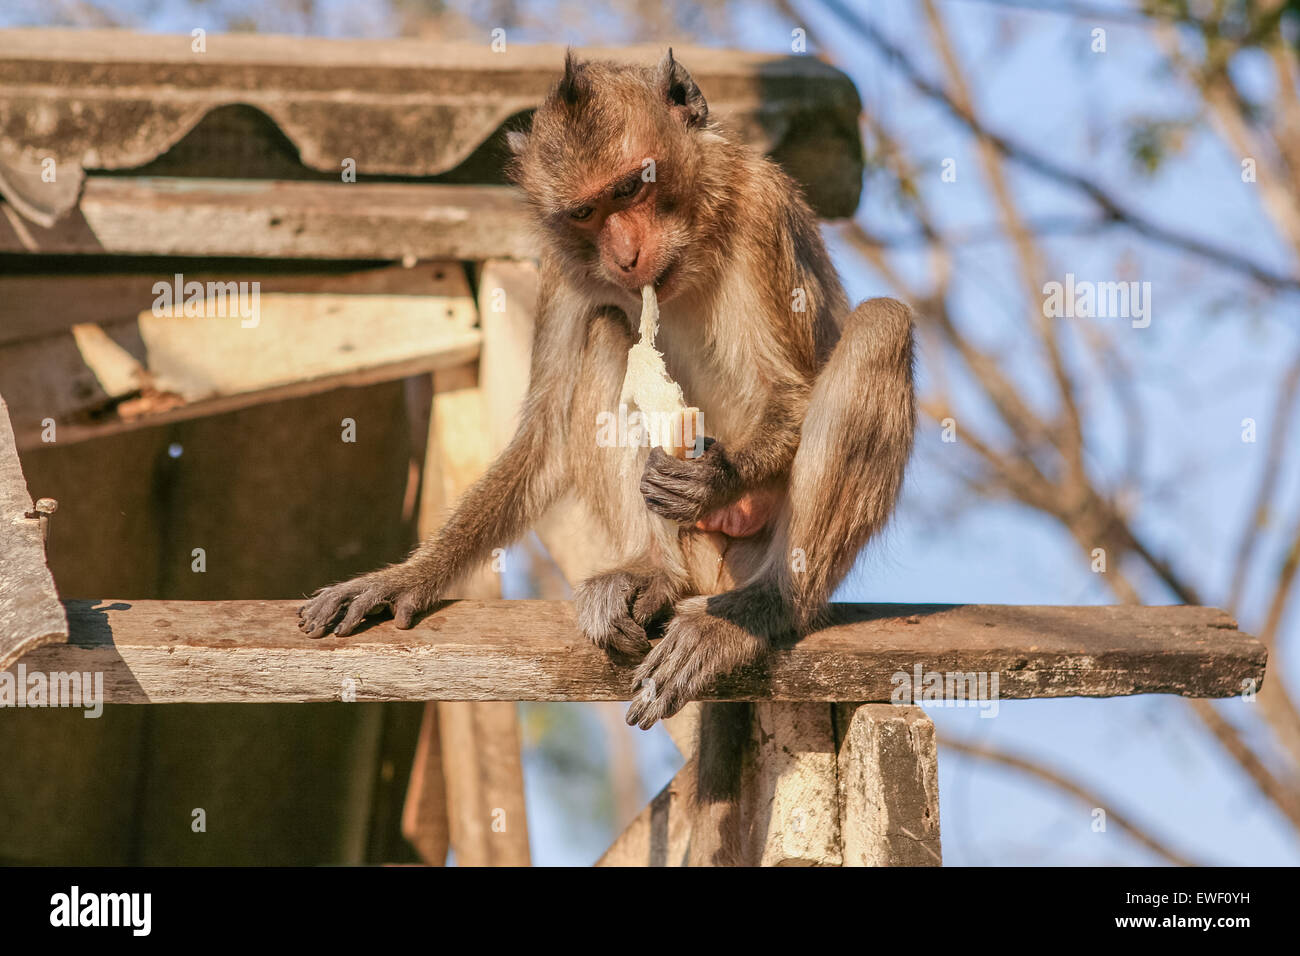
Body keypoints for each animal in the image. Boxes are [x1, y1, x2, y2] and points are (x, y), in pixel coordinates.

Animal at [298, 50, 915, 746]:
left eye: (629, 190)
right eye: (584, 215)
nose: (625, 254)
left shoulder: (763, 210)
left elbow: (789, 390)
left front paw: (715, 477)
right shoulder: (562, 262)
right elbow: (542, 433)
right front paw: (405, 576)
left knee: (882, 325)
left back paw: (768, 604)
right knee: (601, 331)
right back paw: (652, 571)